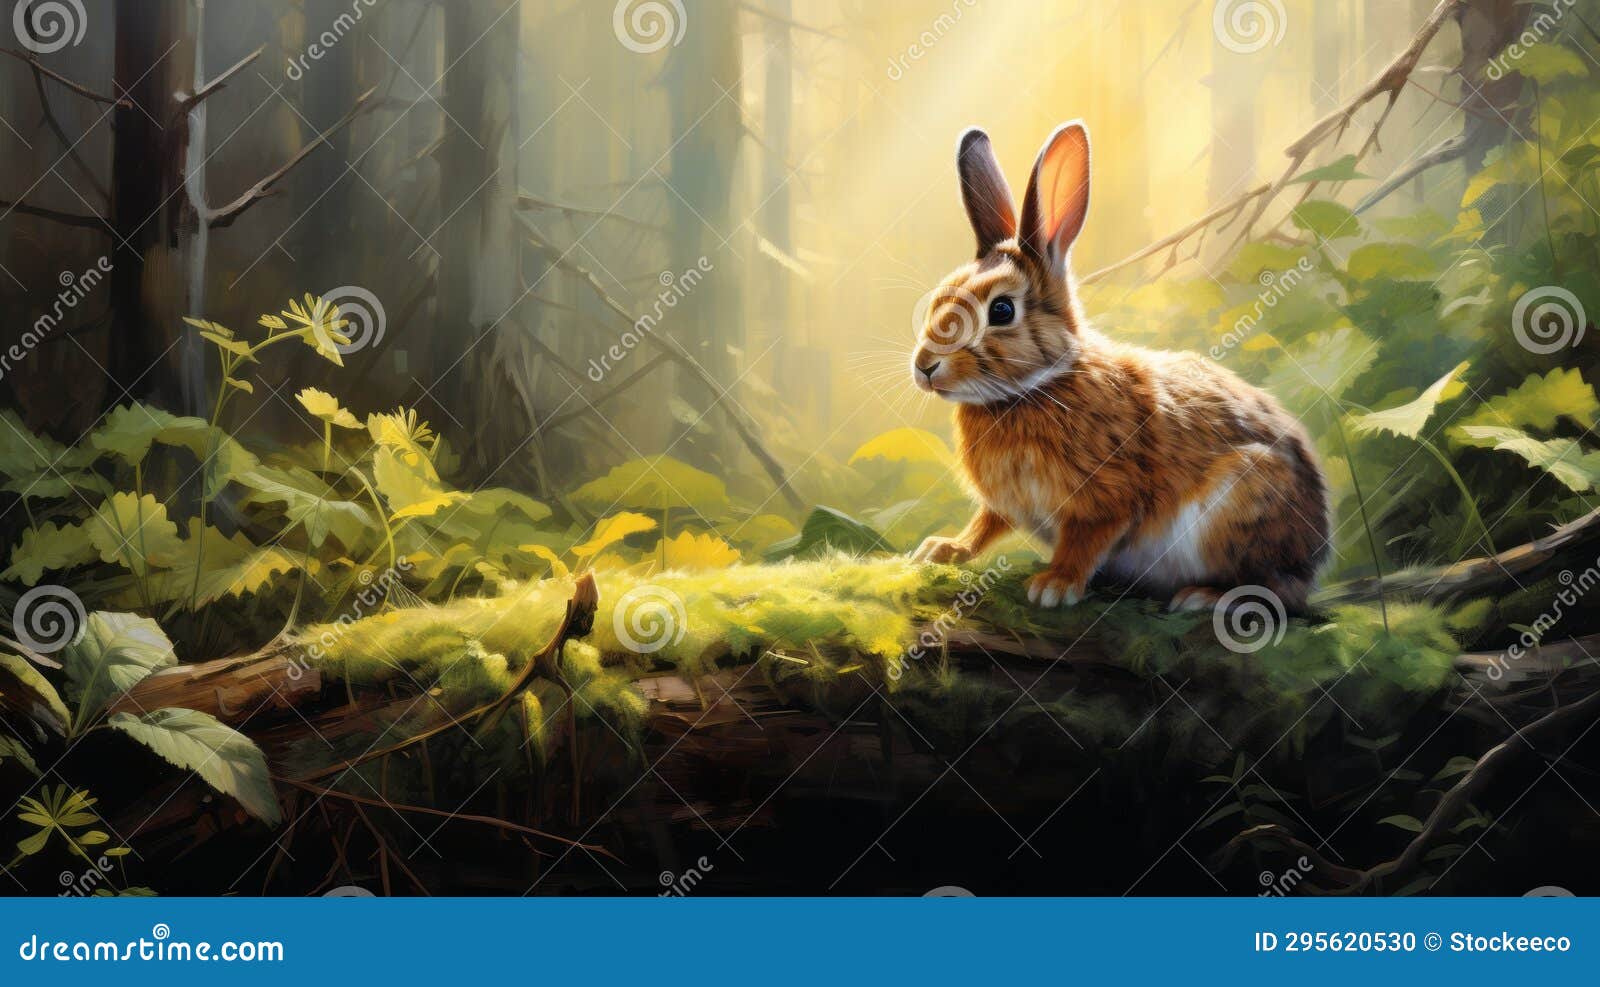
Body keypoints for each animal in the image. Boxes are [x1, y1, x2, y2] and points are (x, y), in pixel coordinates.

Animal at [908, 122, 1329, 613]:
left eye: (1001, 311)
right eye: (941, 294)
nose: (925, 367)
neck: (1034, 389)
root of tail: (1315, 561)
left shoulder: (1108, 496)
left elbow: (1087, 538)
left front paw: (1056, 585)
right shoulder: (1006, 503)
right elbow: (986, 524)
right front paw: (942, 549)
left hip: (1247, 497)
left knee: (1273, 590)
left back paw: (1205, 596)